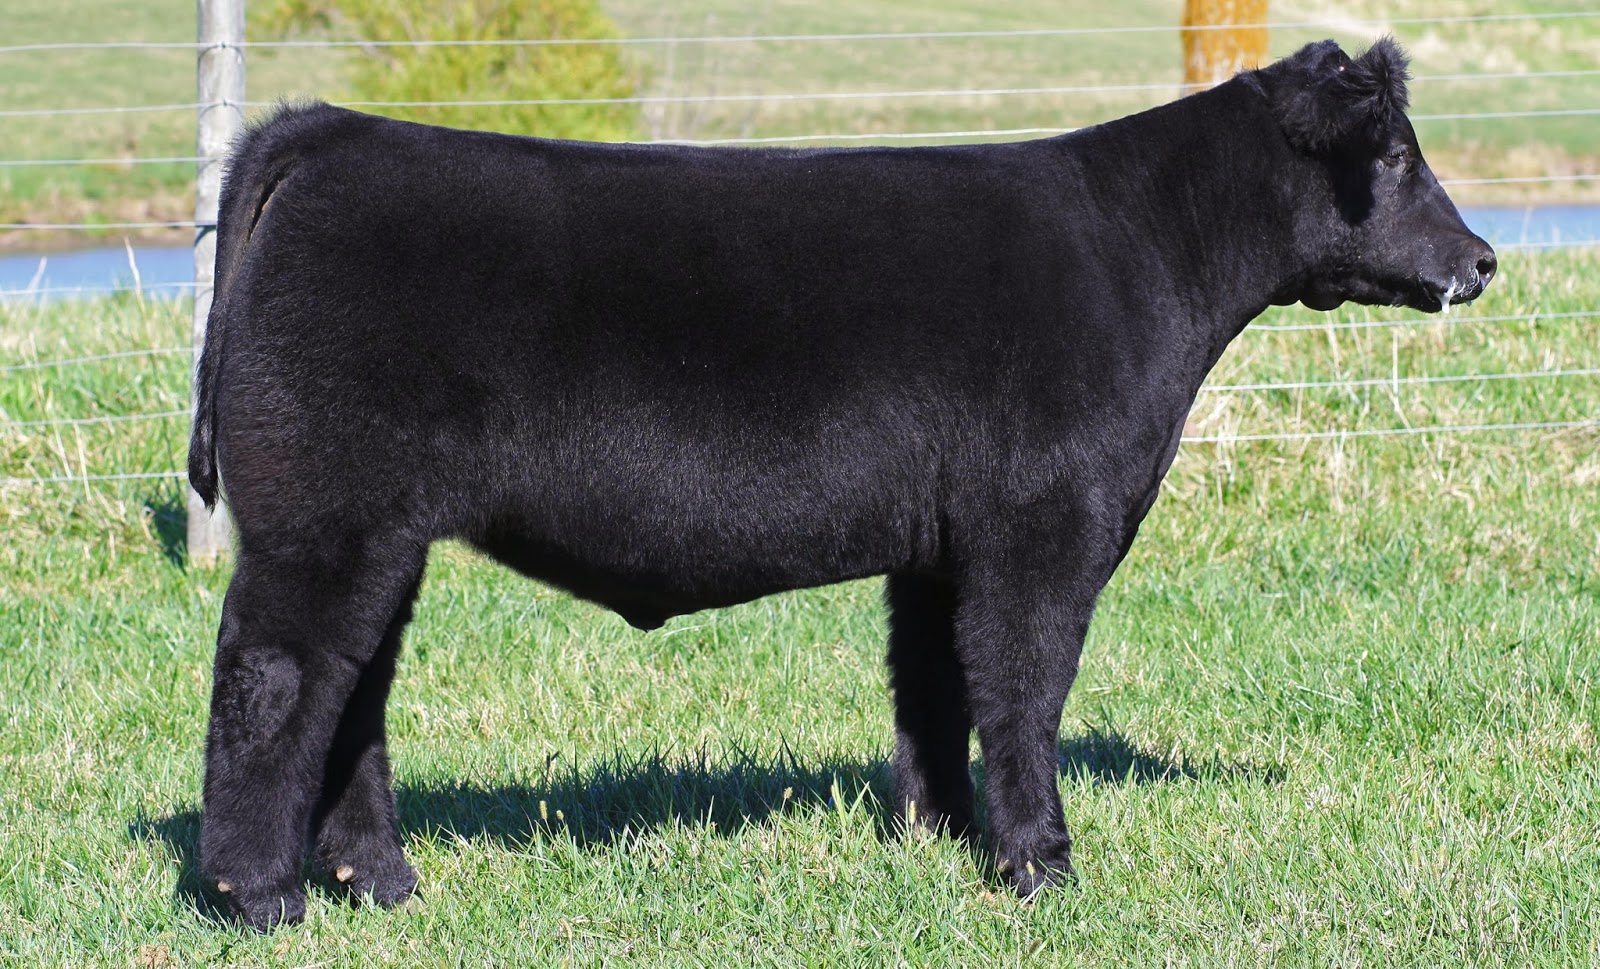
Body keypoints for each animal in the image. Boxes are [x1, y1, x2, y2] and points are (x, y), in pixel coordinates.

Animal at [188, 37, 1495, 929]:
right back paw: (260, 896)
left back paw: (382, 883)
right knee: (274, 678)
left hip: (380, 533)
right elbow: (1022, 690)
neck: (1145, 256)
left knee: (352, 691)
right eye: (1391, 154)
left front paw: (937, 839)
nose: (1482, 258)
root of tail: (335, 133)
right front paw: (1041, 865)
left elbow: (933, 691)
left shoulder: (941, 546)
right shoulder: (1044, 527)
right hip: (323, 520)